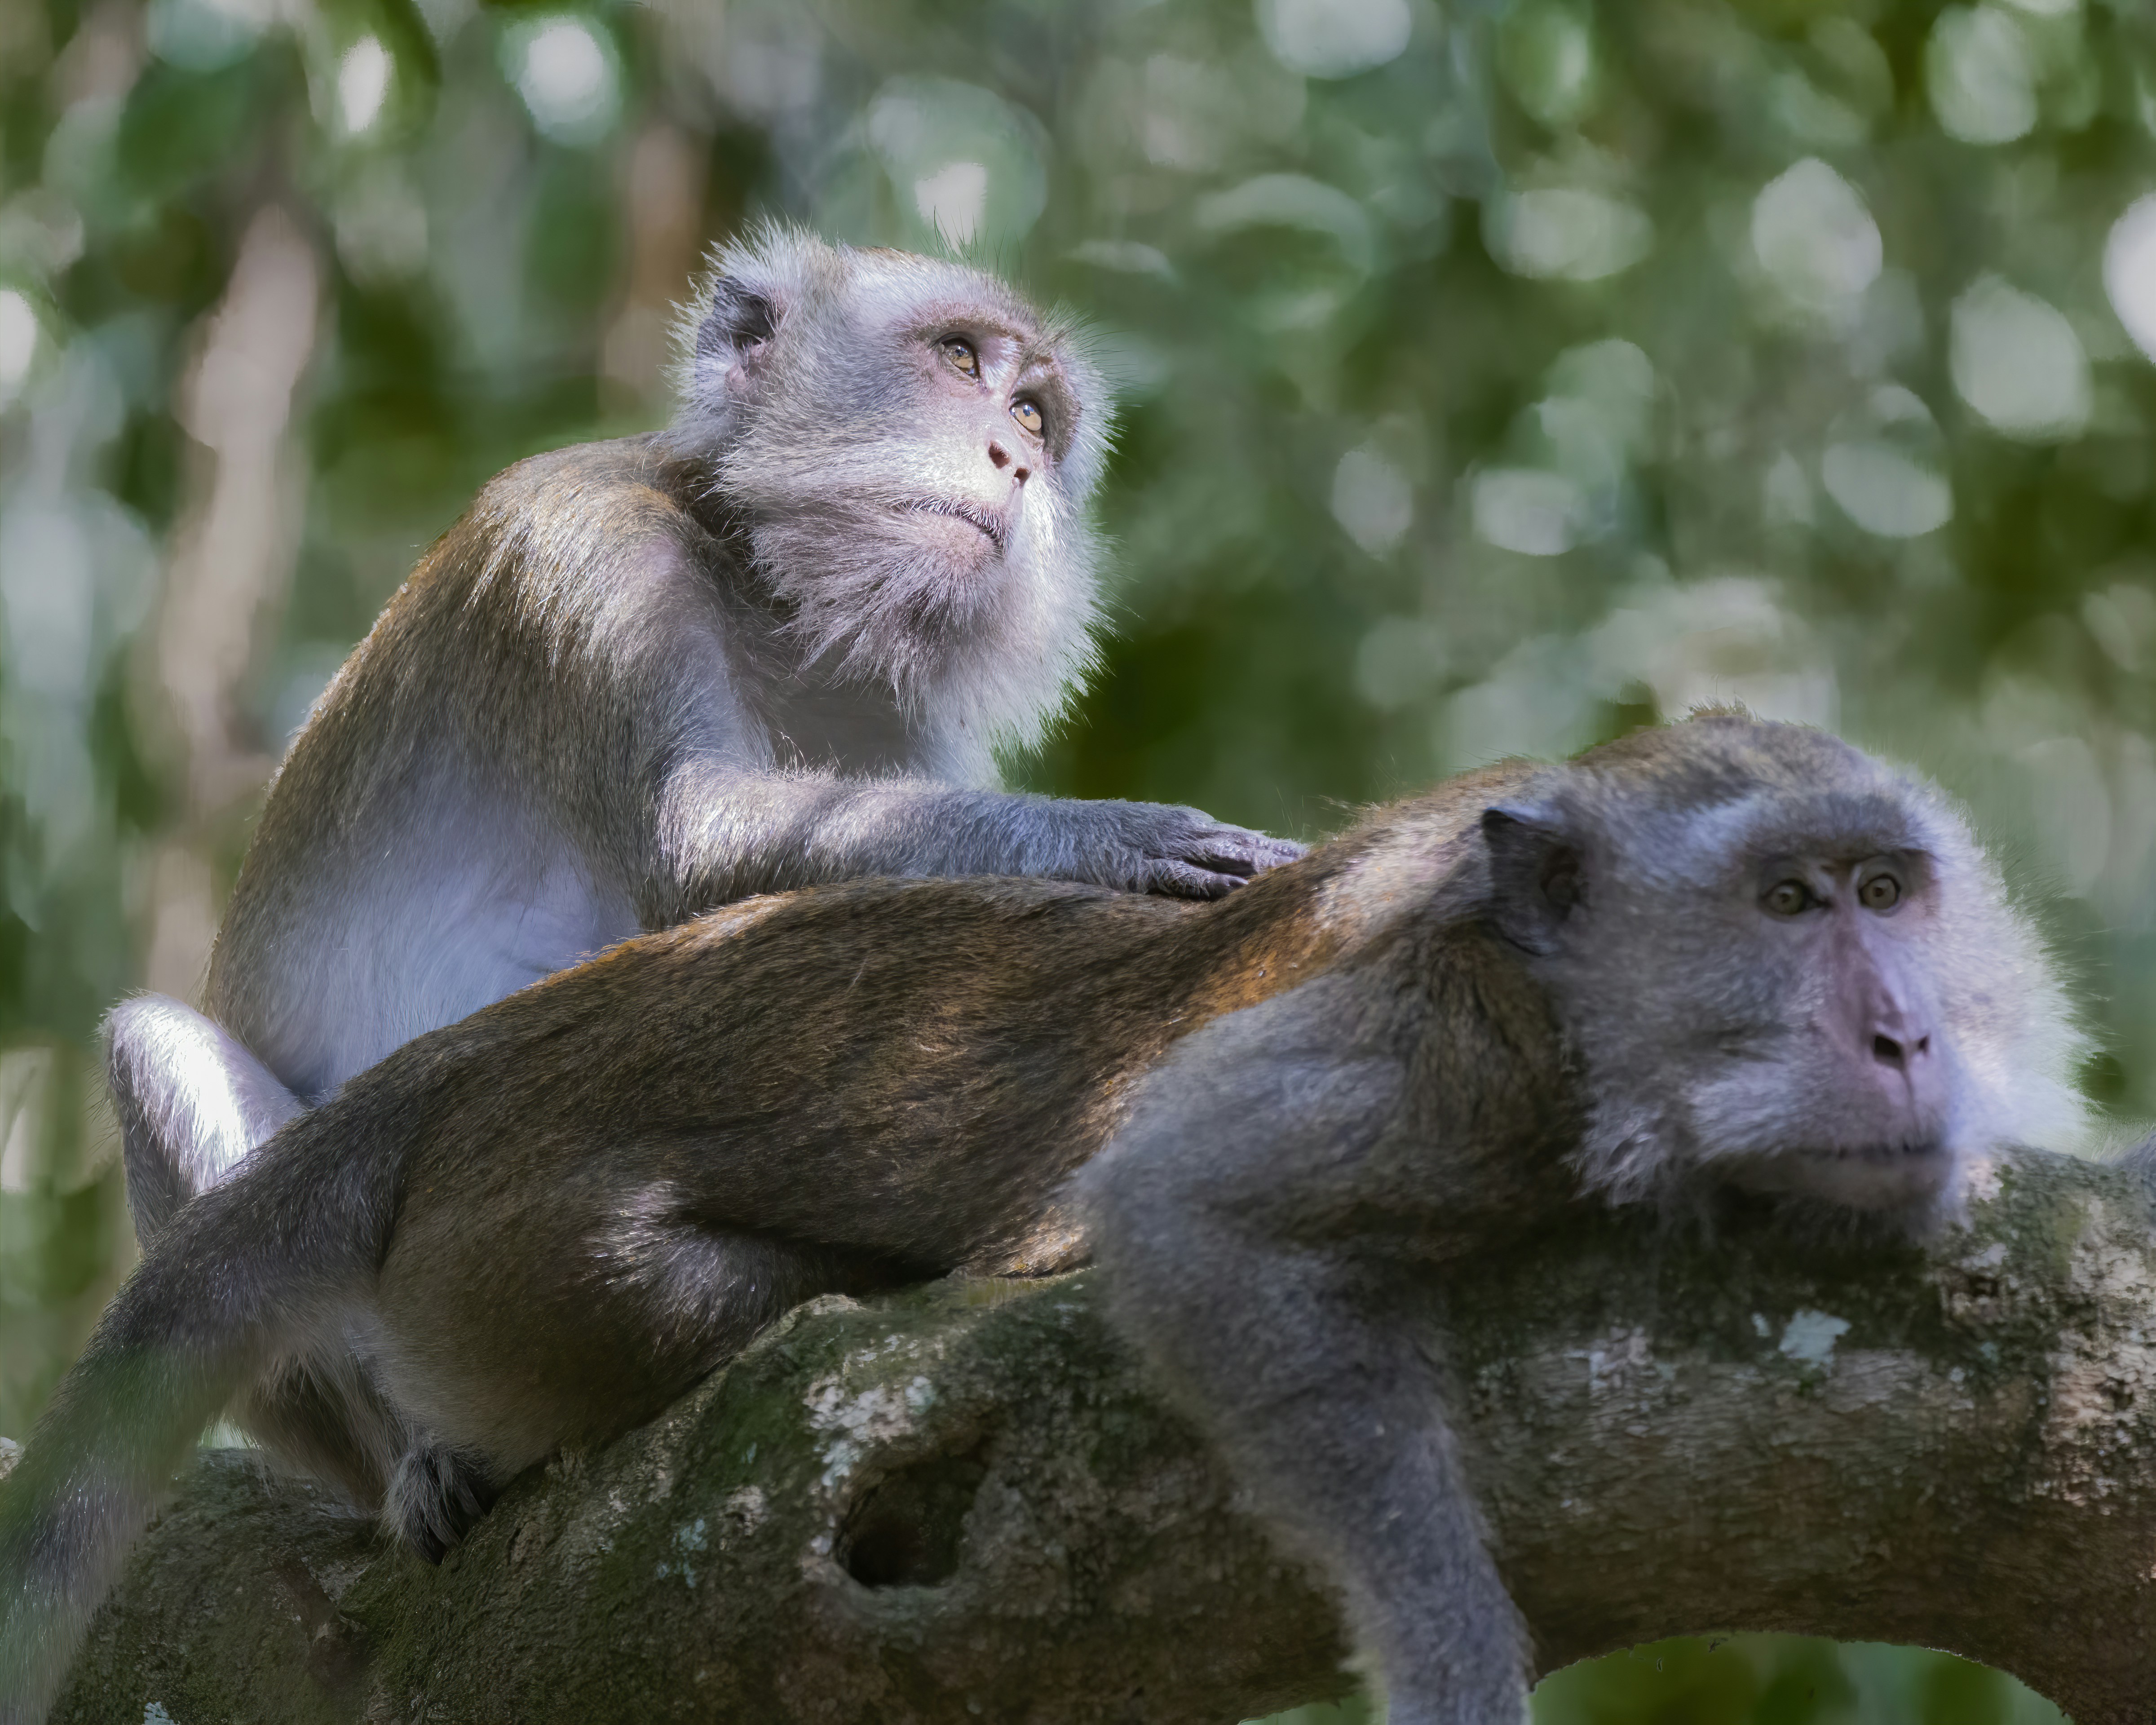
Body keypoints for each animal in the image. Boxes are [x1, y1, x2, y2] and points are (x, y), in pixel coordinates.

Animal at [0, 716, 2090, 1722]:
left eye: (1891, 890)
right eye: (1790, 904)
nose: (1905, 1033)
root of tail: (476, 1064)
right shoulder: (1454, 1055)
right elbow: (1163, 1226)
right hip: (531, 1262)